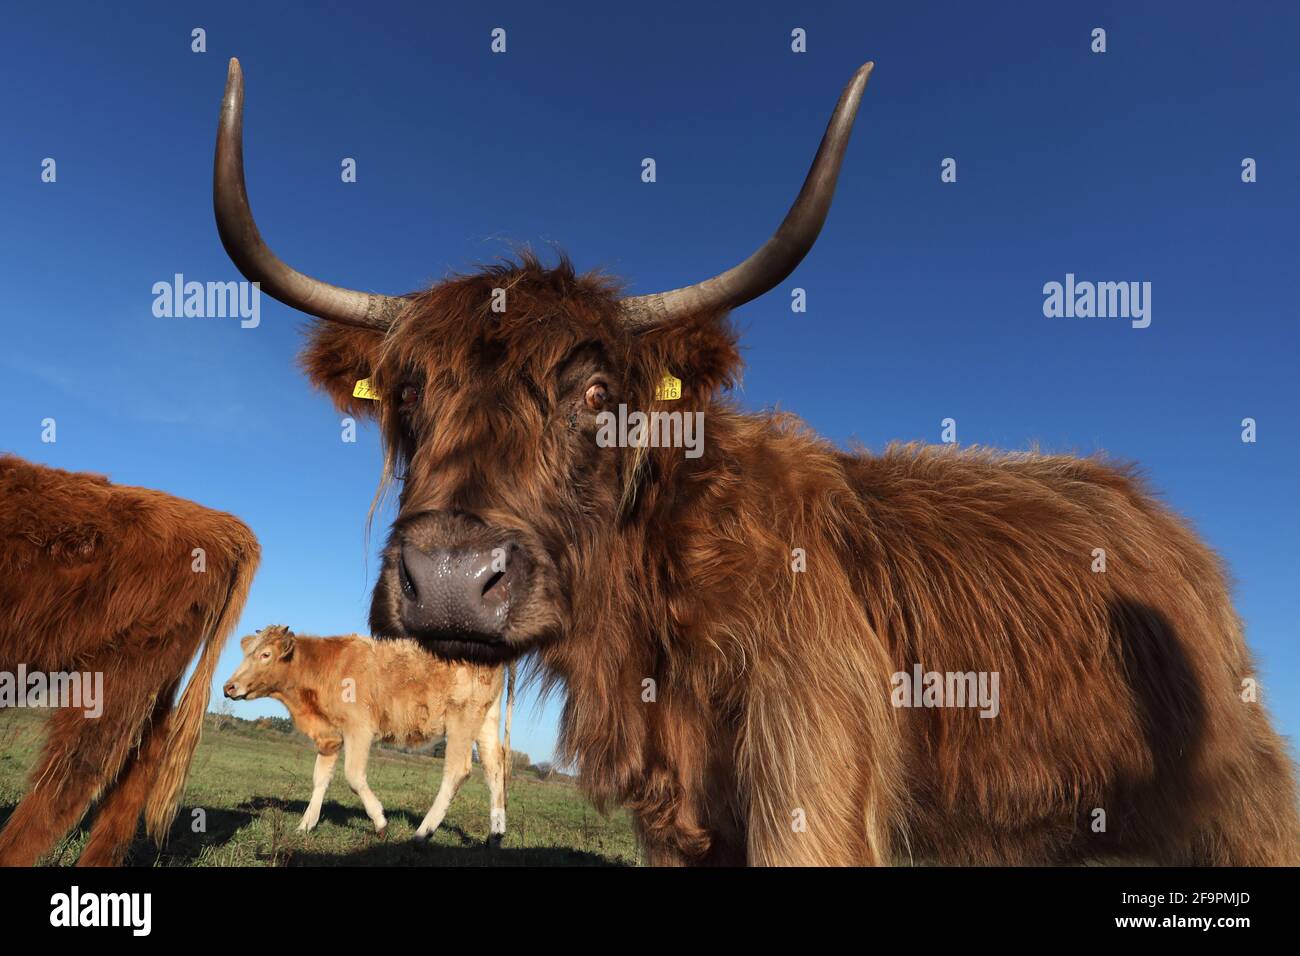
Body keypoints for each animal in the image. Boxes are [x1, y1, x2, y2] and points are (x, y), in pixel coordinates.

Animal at [222, 625, 513, 841]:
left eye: (265, 654)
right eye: (248, 651)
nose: (229, 687)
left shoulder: (359, 728)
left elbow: (353, 776)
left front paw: (380, 822)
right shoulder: (331, 736)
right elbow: (320, 779)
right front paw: (306, 824)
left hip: (461, 721)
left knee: (457, 772)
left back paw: (423, 832)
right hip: (486, 720)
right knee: (494, 768)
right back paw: (495, 834)